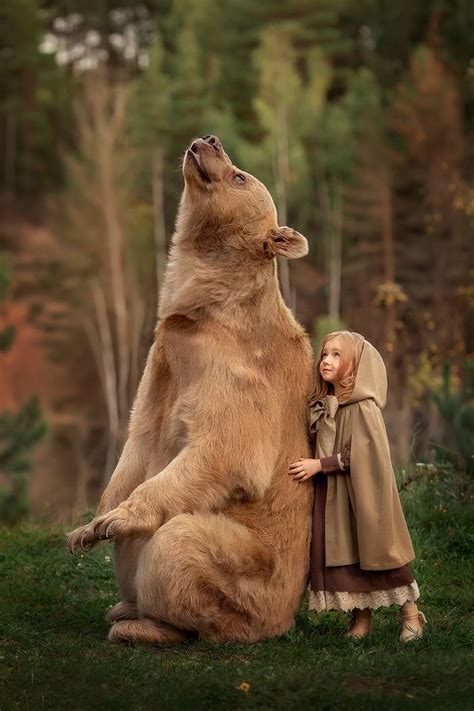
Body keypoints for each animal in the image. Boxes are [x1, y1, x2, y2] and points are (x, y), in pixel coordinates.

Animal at [68, 134, 314, 644]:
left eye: (240, 176)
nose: (210, 139)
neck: (202, 308)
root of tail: (286, 617)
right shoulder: (161, 363)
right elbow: (136, 443)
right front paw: (87, 527)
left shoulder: (235, 372)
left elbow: (224, 450)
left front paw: (118, 518)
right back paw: (123, 606)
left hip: (254, 573)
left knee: (178, 545)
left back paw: (142, 625)